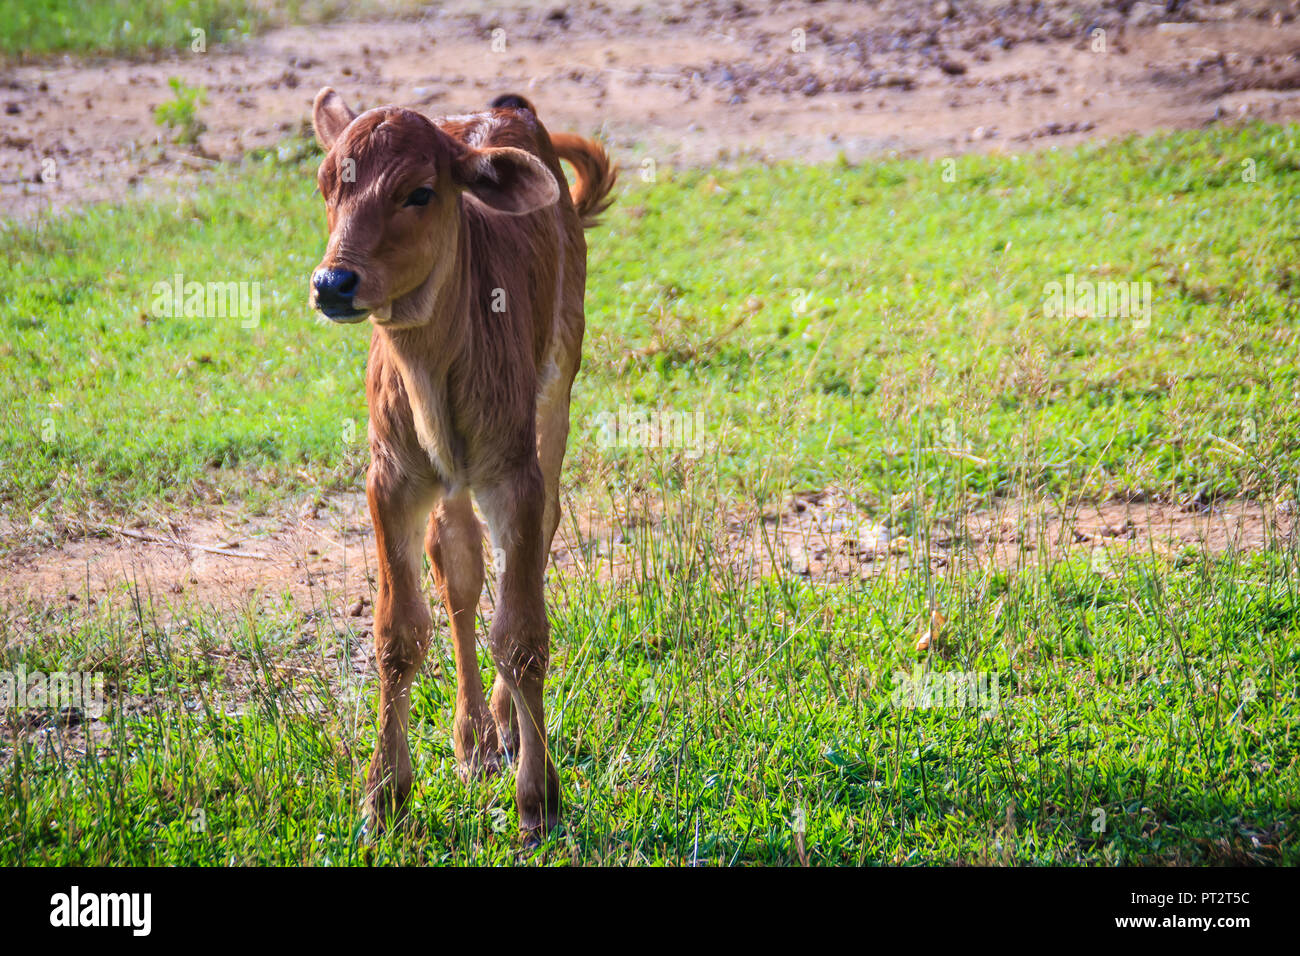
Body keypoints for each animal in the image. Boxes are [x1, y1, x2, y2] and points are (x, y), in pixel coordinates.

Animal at [307, 86, 615, 840]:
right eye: (328, 185)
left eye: (419, 192)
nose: (334, 282)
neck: (429, 373)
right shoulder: (391, 479)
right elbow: (398, 630)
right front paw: (385, 794)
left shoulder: (512, 475)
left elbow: (524, 634)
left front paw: (539, 797)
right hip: (449, 484)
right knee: (461, 567)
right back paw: (474, 736)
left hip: (556, 390)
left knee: (534, 543)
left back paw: (502, 727)